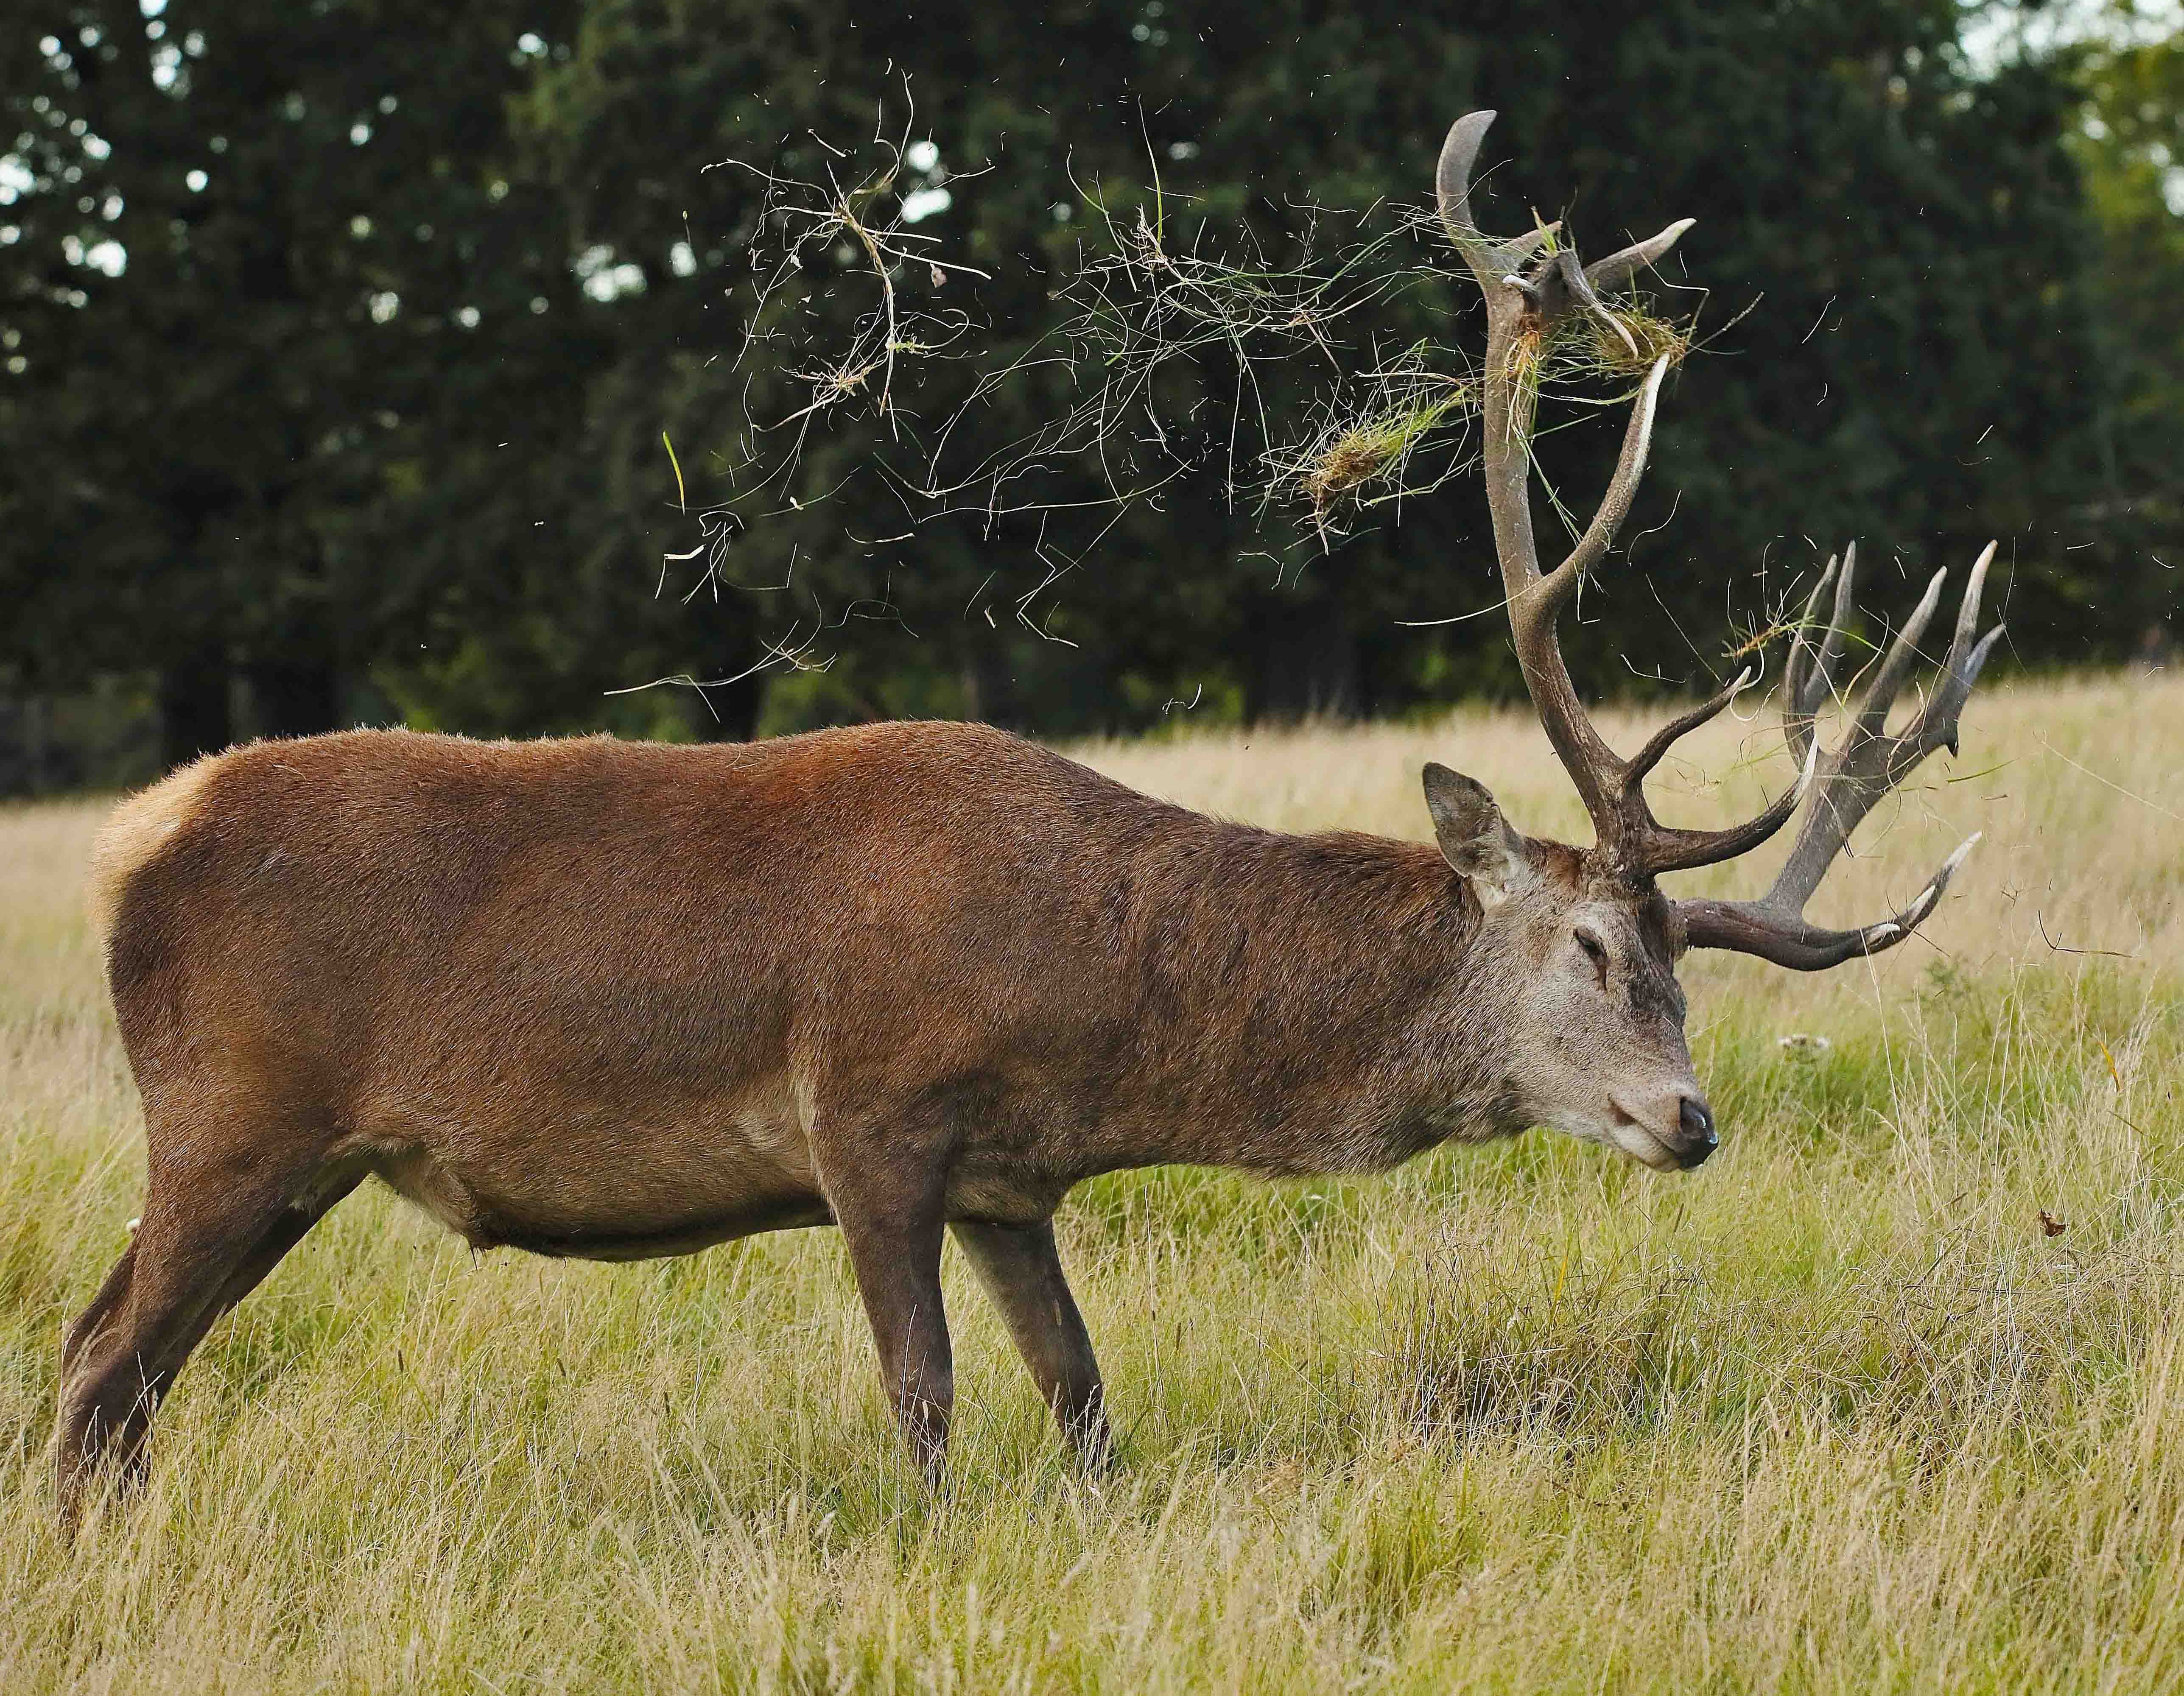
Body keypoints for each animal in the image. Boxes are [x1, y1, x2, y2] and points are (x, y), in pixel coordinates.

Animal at [55, 110, 2000, 1527]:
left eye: (1685, 968)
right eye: (1593, 943)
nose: (1688, 1118)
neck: (1095, 1002)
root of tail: (131, 837)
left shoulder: (1012, 1179)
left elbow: (1079, 1397)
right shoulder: (867, 1111)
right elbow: (921, 1405)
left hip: (289, 1156)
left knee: (114, 1356)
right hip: (228, 1113)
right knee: (100, 1364)